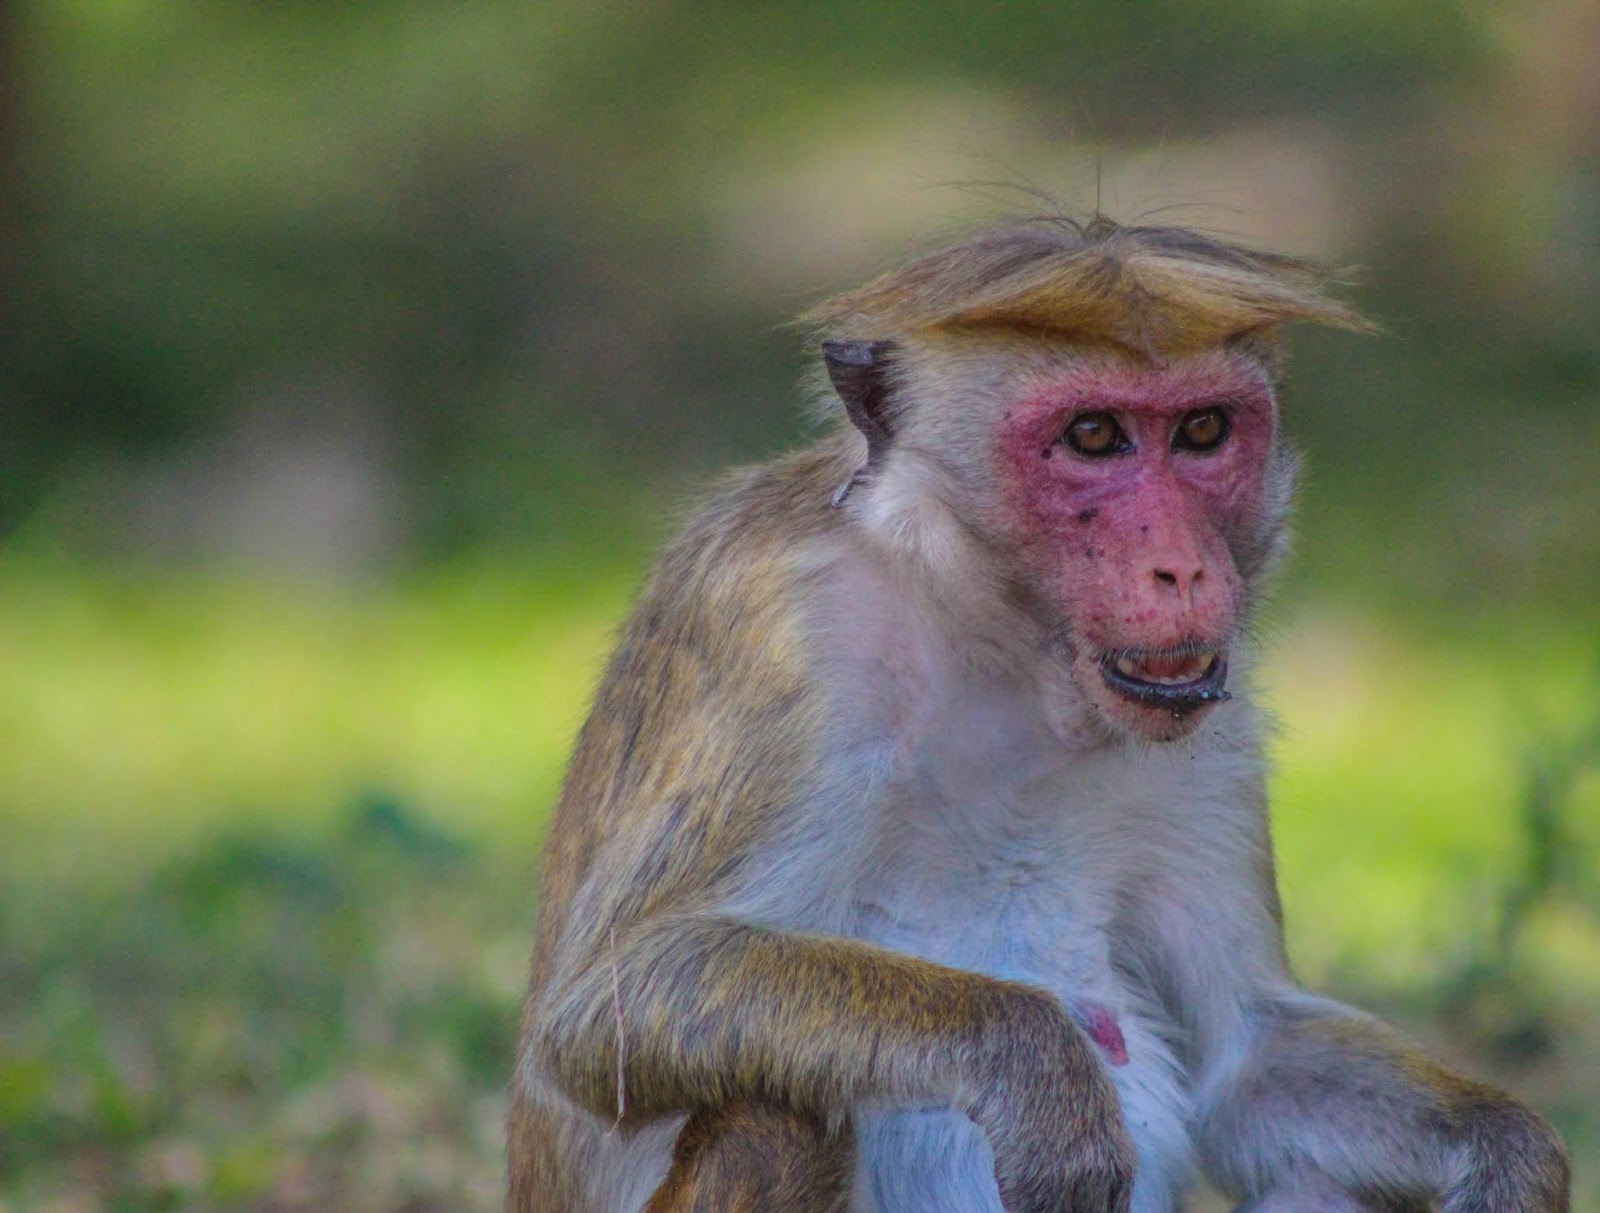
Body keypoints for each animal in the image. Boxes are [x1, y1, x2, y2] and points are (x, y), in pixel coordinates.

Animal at [507, 216, 1570, 1213]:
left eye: (1203, 431)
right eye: (1094, 436)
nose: (1182, 568)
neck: (1003, 656)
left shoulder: (1211, 732)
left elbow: (1246, 1061)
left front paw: (1510, 1154)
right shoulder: (783, 637)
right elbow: (610, 1003)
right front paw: (1038, 1066)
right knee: (777, 1116)